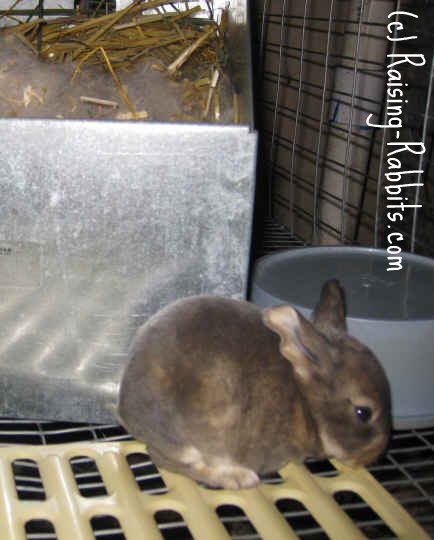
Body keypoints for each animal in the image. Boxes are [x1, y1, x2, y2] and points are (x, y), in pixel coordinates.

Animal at [114, 280, 390, 492]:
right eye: (363, 412)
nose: (376, 453)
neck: (304, 403)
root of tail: (126, 408)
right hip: (189, 438)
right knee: (175, 461)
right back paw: (239, 478)